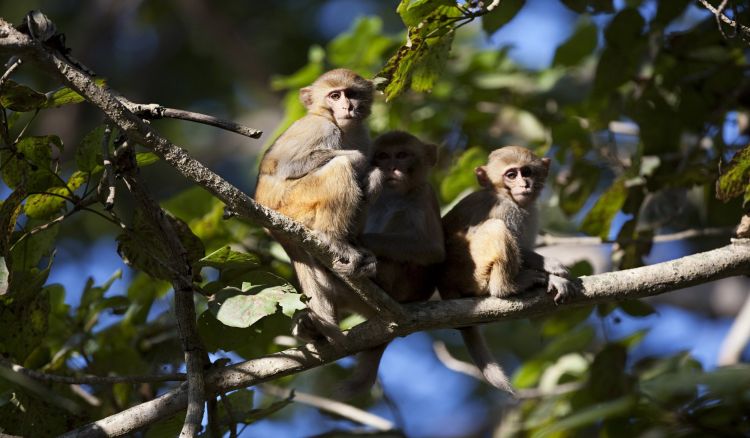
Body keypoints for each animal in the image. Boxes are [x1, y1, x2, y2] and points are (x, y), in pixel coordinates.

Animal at [254, 68, 378, 344]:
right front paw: (358, 159)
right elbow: (287, 164)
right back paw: (333, 238)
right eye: (334, 96)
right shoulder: (320, 128)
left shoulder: (364, 136)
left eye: (351, 93)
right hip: (294, 205)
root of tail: (271, 228)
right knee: (340, 167)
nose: (348, 106)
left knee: (373, 179)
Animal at [335, 130, 446, 399]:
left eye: (402, 155)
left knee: (401, 218)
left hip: (406, 286)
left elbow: (433, 249)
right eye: (383, 156)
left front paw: (361, 243)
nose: (392, 168)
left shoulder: (424, 194)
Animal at [438, 146, 579, 394]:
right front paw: (552, 269)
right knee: (496, 228)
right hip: (468, 267)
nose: (525, 184)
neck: (506, 195)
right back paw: (507, 287)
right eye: (511, 175)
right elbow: (519, 246)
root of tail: (444, 284)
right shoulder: (504, 209)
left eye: (527, 172)